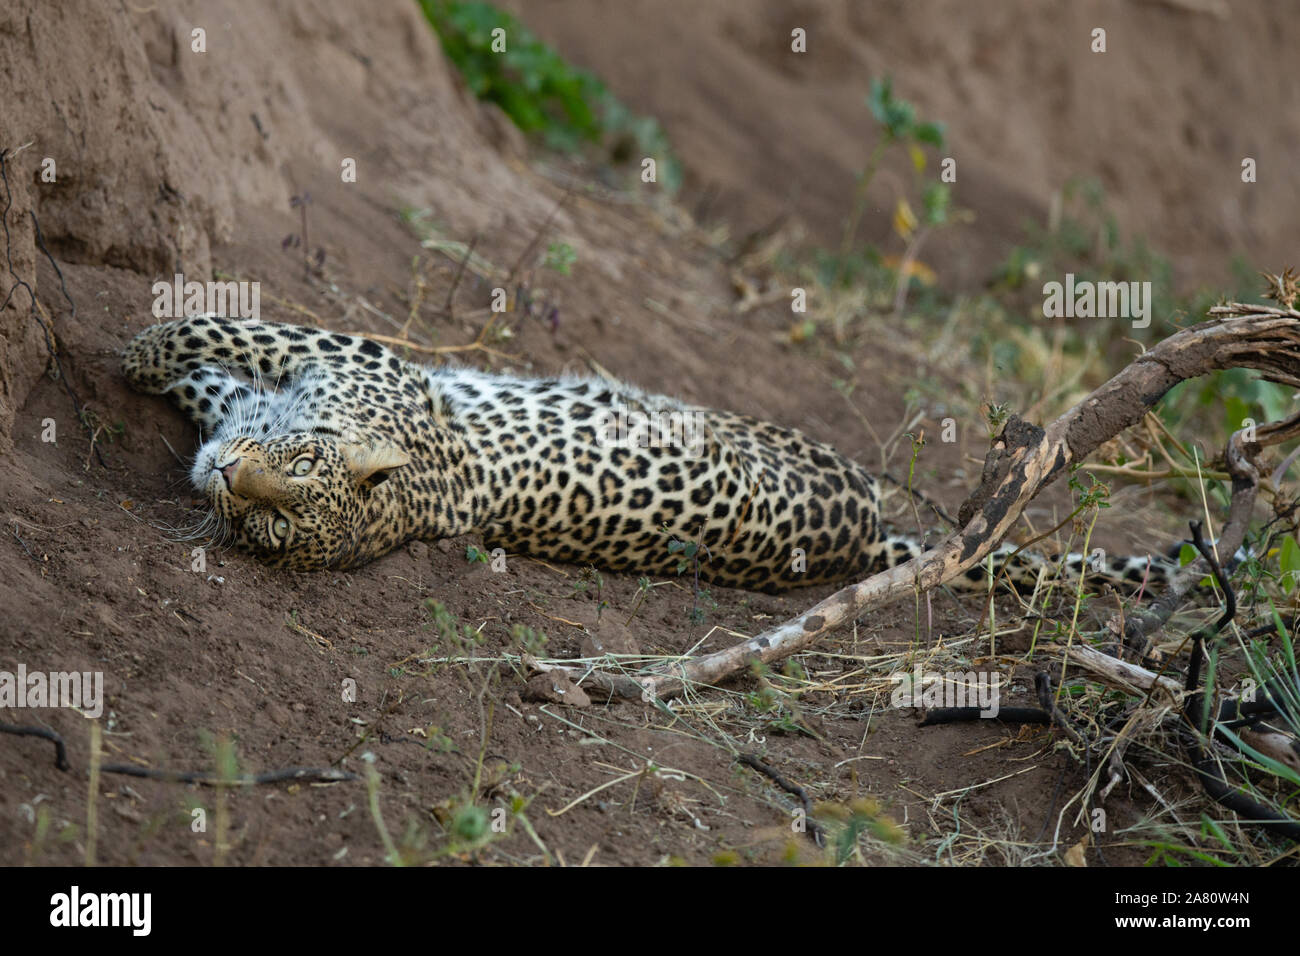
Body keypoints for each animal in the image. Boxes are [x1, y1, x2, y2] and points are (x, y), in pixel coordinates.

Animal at [121, 315, 1177, 594]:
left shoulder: (353, 356)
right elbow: (222, 376)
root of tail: (866, 536)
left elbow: (226, 334)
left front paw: (138, 346)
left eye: (280, 515)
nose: (229, 482)